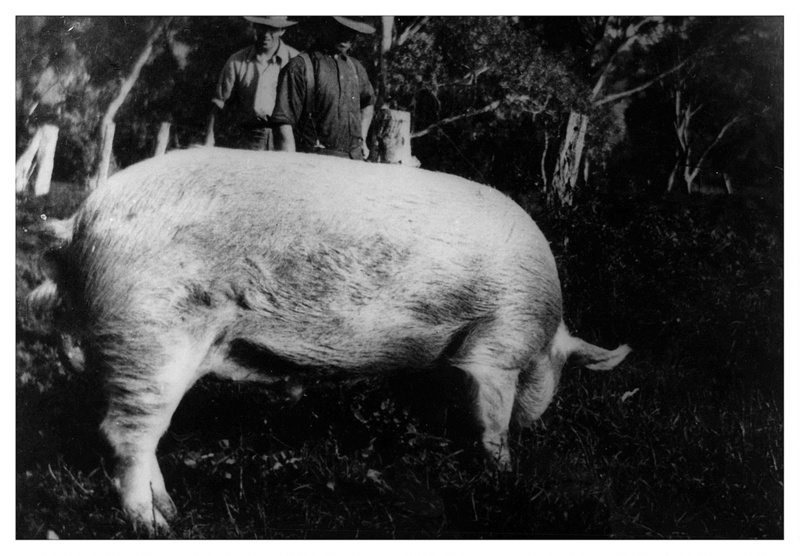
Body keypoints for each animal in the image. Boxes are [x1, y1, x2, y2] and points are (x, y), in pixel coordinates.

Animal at [28, 147, 630, 532]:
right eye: (554, 374)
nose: (537, 427)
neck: (546, 329)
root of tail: (78, 222)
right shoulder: (498, 344)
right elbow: (493, 421)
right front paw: (505, 474)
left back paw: (169, 513)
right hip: (152, 333)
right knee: (126, 433)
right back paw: (156, 523)